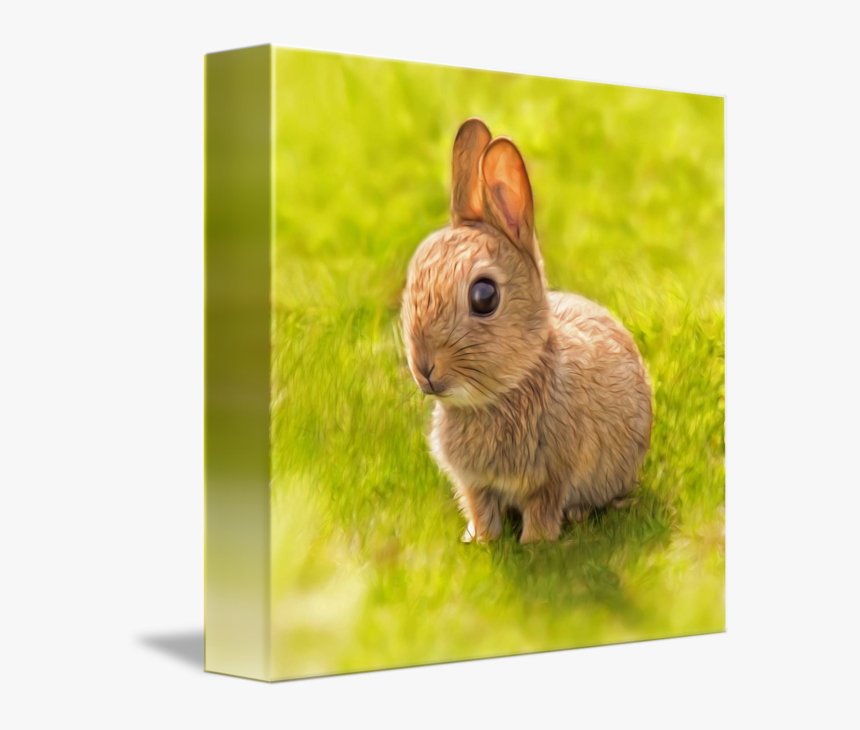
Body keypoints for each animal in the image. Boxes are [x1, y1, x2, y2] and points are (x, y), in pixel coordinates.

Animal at [401, 118, 652, 544]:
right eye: (412, 280)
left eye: (484, 296)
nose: (425, 369)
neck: (501, 394)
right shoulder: (475, 484)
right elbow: (481, 509)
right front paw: (481, 541)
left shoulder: (551, 478)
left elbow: (542, 509)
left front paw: (536, 544)